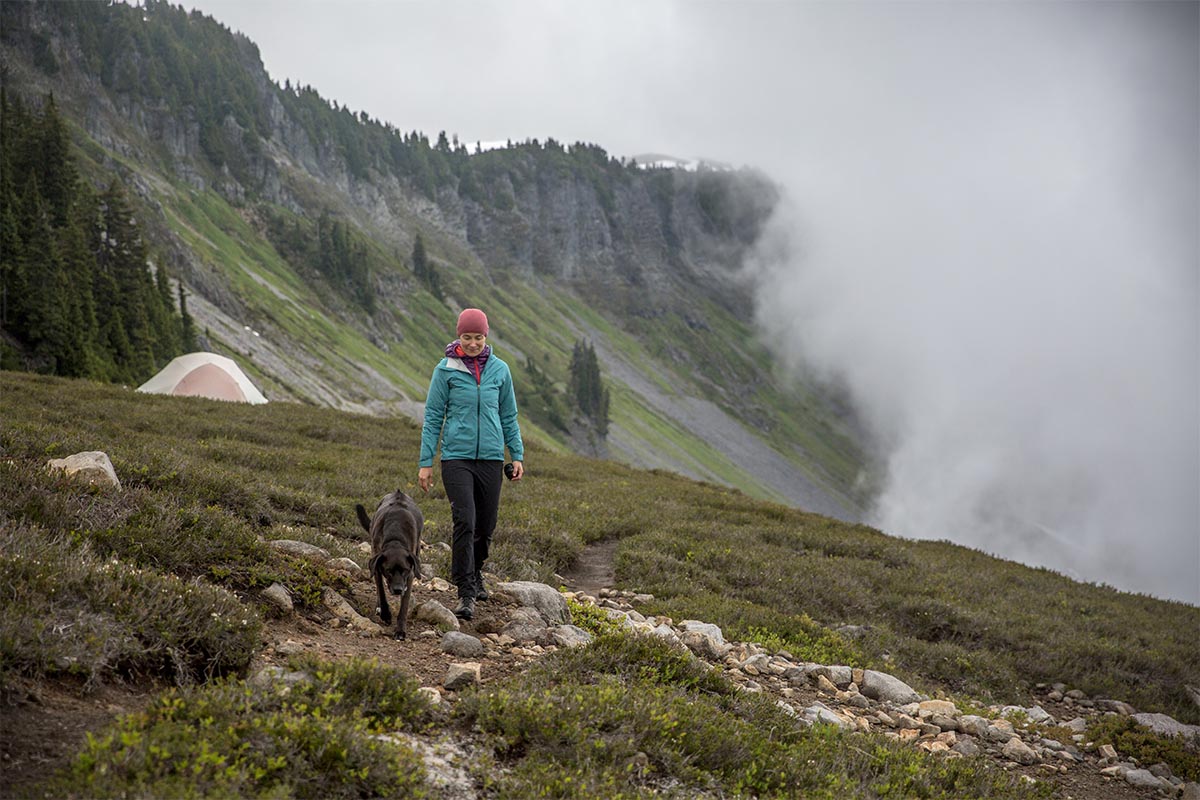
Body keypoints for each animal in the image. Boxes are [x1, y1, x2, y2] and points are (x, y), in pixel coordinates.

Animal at [352, 491, 424, 642]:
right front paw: (385, 614)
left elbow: (404, 606)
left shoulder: (410, 575)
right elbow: (381, 591)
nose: (398, 590)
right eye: (389, 571)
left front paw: (400, 631)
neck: (395, 539)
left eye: (405, 570)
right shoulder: (376, 566)